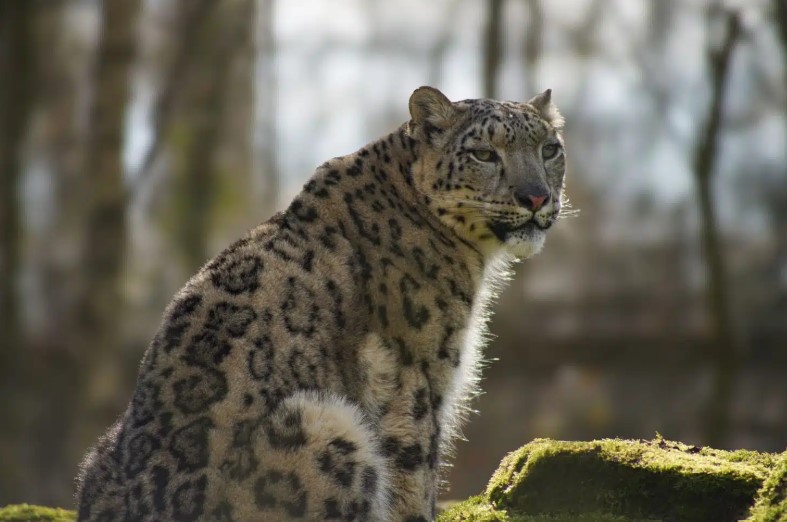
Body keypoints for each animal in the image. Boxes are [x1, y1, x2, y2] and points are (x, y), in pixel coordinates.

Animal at [75, 86, 567, 521]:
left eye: (549, 149)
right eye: (484, 153)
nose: (536, 195)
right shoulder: (415, 381)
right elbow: (415, 473)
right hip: (324, 425)